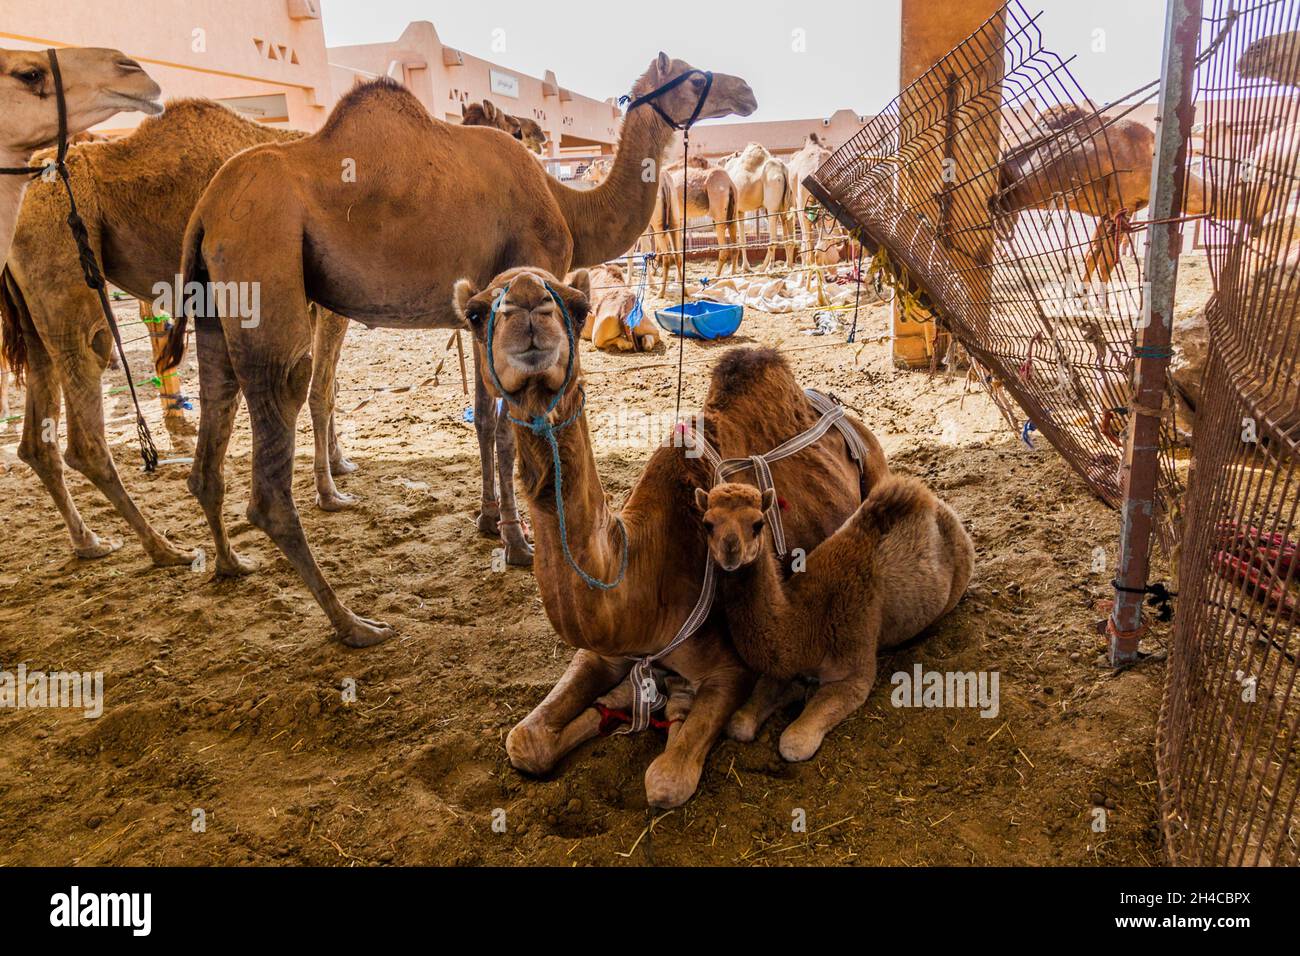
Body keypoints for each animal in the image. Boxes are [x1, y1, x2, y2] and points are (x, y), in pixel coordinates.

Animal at [0, 98, 358, 565]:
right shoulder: (328, 305)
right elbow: (322, 392)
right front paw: (330, 491)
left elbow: (327, 389)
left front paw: (339, 465)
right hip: (65, 268)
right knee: (87, 405)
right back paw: (167, 549)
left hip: (33, 312)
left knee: (37, 436)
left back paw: (91, 542)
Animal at [163, 53, 756, 647]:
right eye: (696, 77)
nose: (747, 92)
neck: (568, 205)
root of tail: (203, 212)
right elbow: (505, 429)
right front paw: (518, 543)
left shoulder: (479, 314)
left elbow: (485, 421)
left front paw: (490, 522)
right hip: (265, 271)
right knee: (279, 431)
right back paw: (355, 623)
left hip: (215, 309)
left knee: (213, 422)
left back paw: (229, 563)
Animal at [452, 266, 888, 806]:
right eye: (474, 315)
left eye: (578, 306)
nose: (530, 305)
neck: (642, 576)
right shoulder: (602, 651)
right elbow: (524, 740)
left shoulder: (728, 670)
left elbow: (666, 780)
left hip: (874, 461)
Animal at [698, 474, 974, 761]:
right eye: (707, 524)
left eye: (757, 524)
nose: (730, 551)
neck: (806, 623)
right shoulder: (782, 669)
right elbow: (738, 724)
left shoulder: (853, 671)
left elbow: (793, 743)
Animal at [724, 142, 797, 273]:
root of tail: (783, 170)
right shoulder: (740, 210)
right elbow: (743, 239)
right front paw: (745, 267)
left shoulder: (734, 210)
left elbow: (737, 240)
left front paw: (736, 269)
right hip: (787, 204)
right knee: (788, 229)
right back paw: (788, 265)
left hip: (772, 203)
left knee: (774, 238)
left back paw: (767, 267)